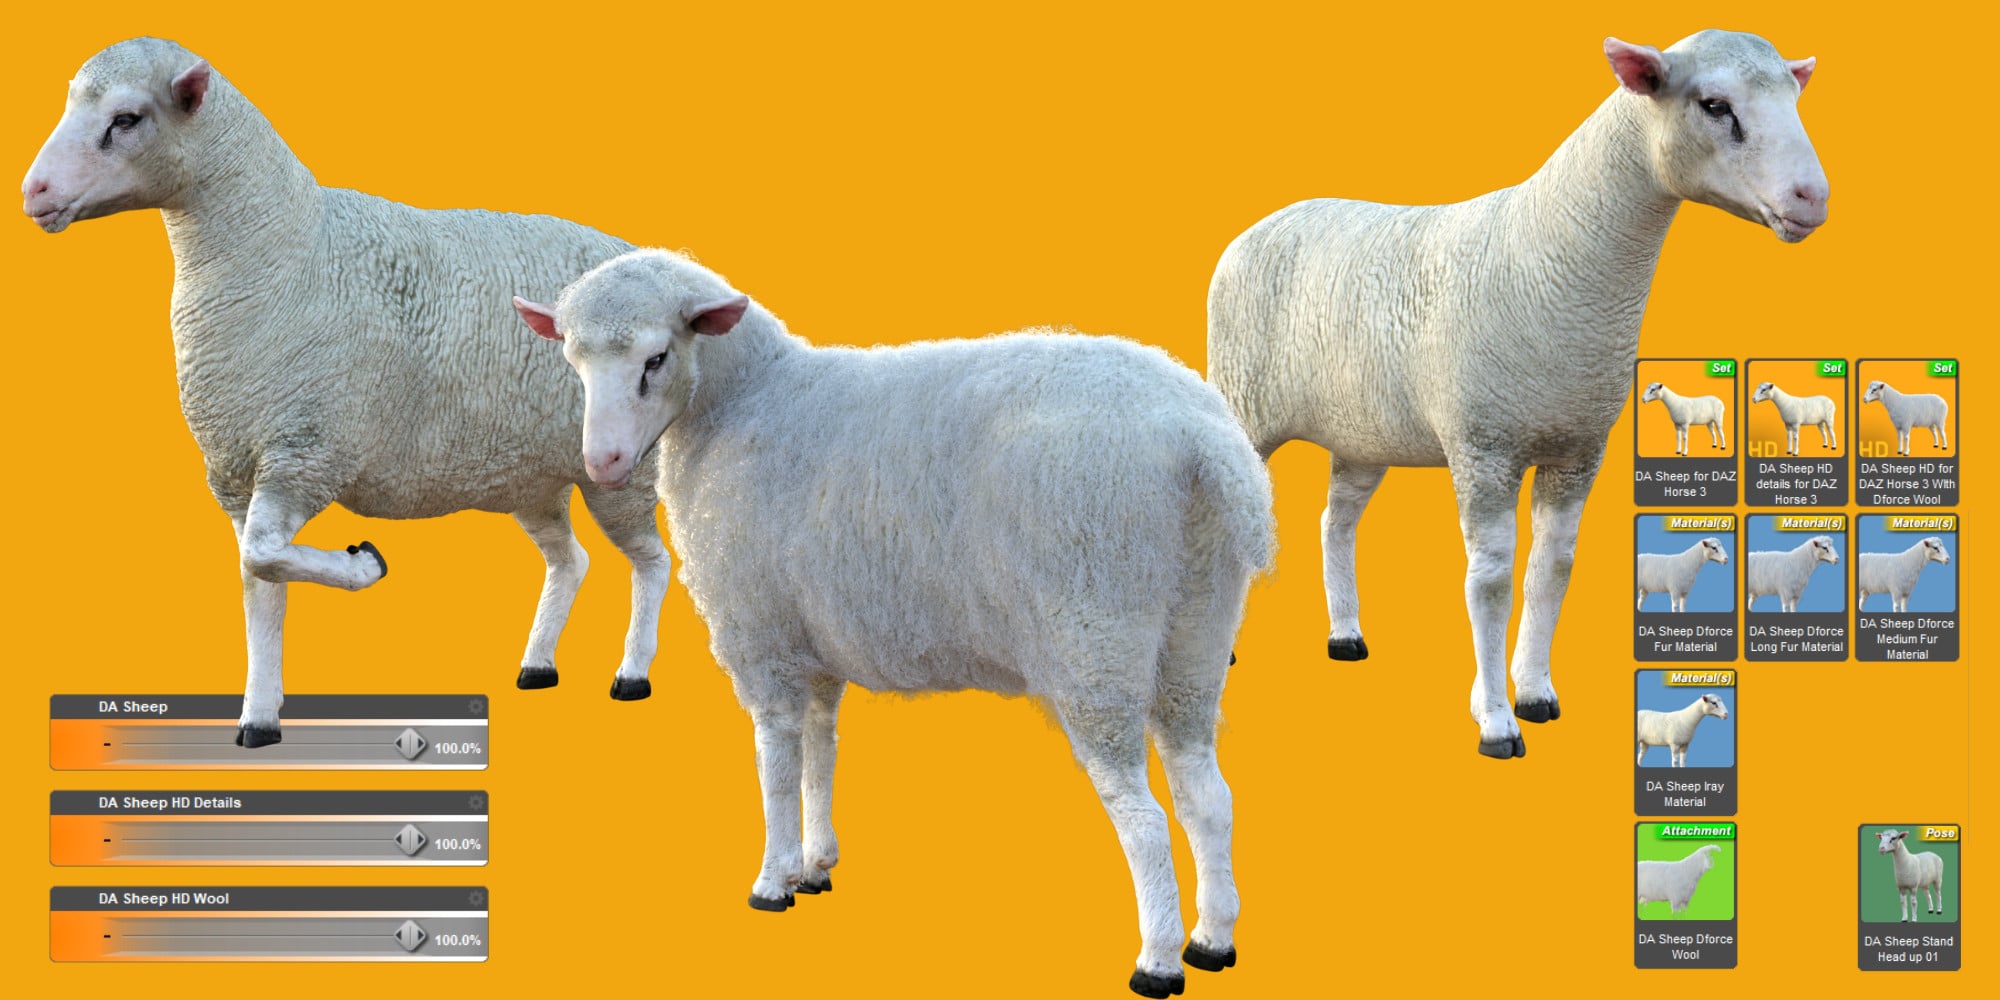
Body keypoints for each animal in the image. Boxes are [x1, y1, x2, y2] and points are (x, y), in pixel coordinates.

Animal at [20, 38, 672, 746]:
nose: (34, 192)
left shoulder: (305, 451)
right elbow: (259, 581)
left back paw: (632, 674)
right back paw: (537, 664)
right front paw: (259, 717)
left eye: (127, 118)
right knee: (570, 560)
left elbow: (268, 556)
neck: (279, 252)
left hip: (622, 466)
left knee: (653, 561)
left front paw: (366, 562)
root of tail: (636, 256)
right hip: (528, 475)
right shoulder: (240, 474)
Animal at [515, 249, 1276, 999]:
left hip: (1095, 633)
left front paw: (772, 879)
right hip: (1195, 628)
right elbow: (821, 749)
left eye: (657, 358)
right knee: (1207, 797)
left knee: (1144, 817)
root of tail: (1200, 439)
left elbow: (777, 761)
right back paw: (1213, 940)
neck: (747, 400)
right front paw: (815, 864)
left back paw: (1158, 959)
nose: (603, 464)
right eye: (573, 359)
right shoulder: (814, 642)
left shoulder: (761, 634)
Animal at [1206, 30, 1827, 758]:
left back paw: (1346, 634)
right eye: (1713, 105)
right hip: (1242, 405)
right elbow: (1491, 583)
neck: (1560, 258)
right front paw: (1497, 724)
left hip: (1363, 431)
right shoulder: (1485, 448)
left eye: (1793, 97)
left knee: (1336, 522)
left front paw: (1530, 694)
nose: (1812, 197)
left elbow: (1550, 571)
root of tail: (1267, 222)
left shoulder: (1579, 449)